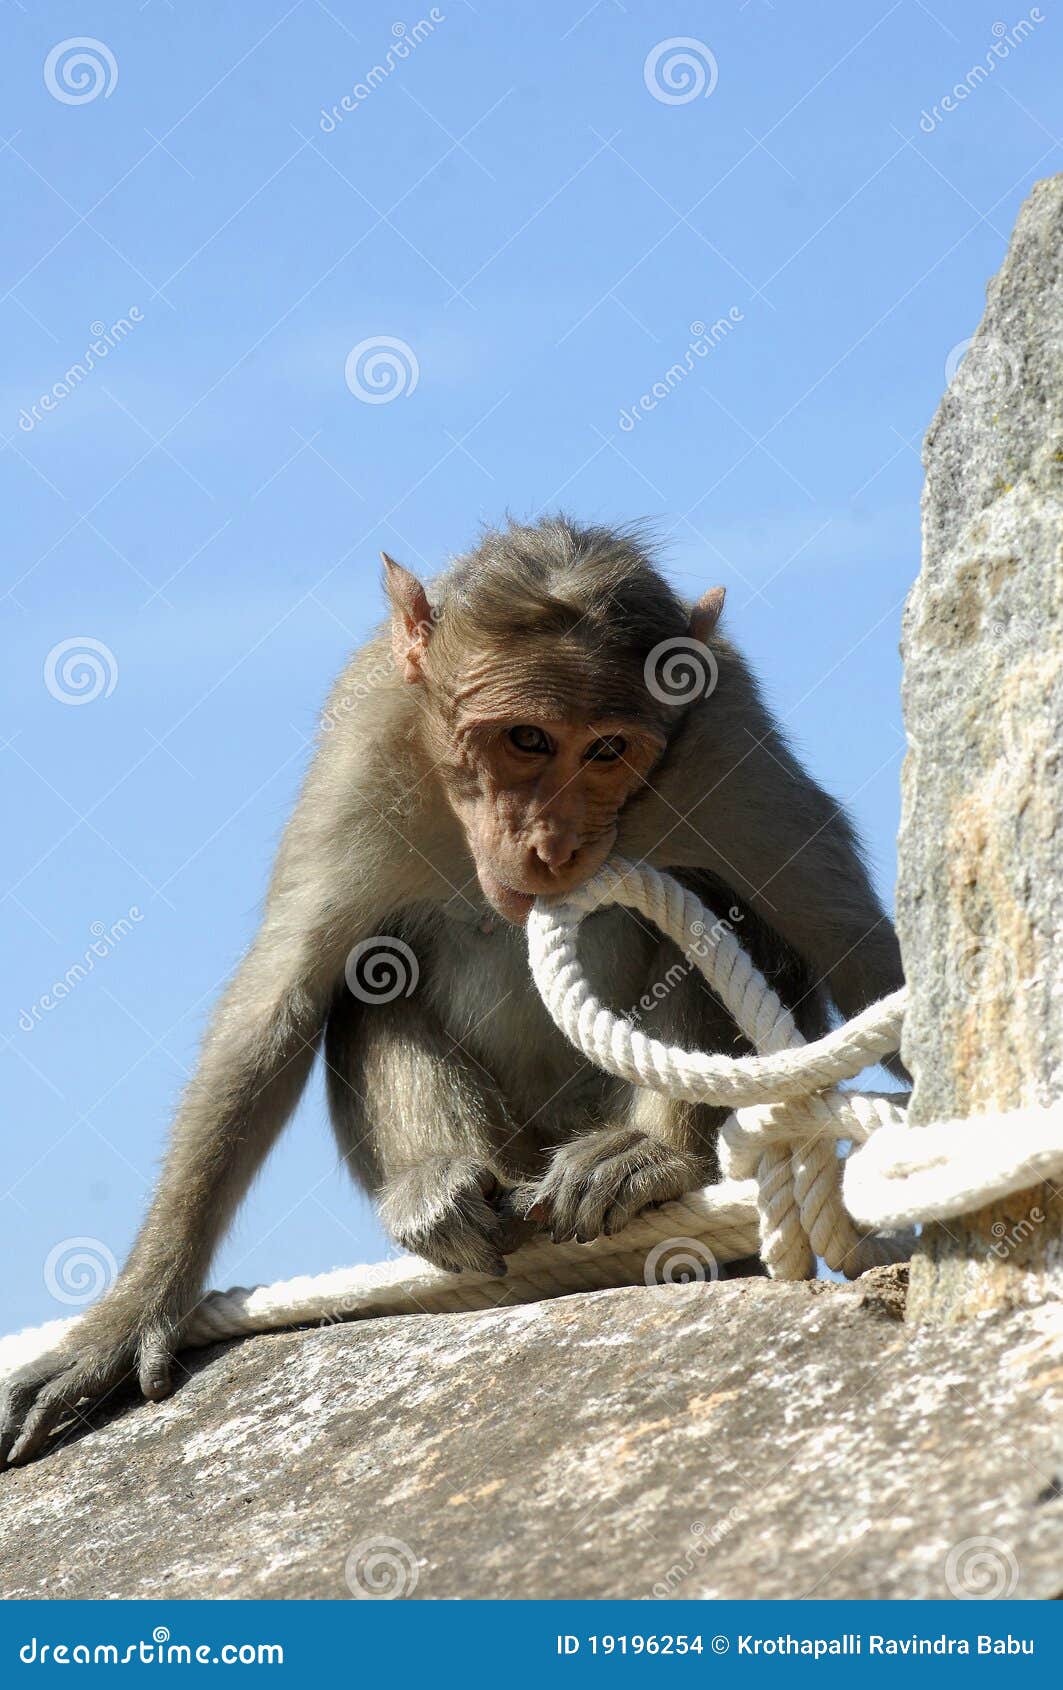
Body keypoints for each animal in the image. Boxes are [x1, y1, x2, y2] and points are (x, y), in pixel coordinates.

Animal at [0, 517, 904, 1466]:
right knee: (372, 974)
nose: (550, 844)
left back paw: (651, 1158)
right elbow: (280, 998)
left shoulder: (729, 746)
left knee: (718, 913)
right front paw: (130, 1315)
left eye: (606, 749)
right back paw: (437, 1187)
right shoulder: (365, 747)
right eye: (525, 739)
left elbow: (851, 947)